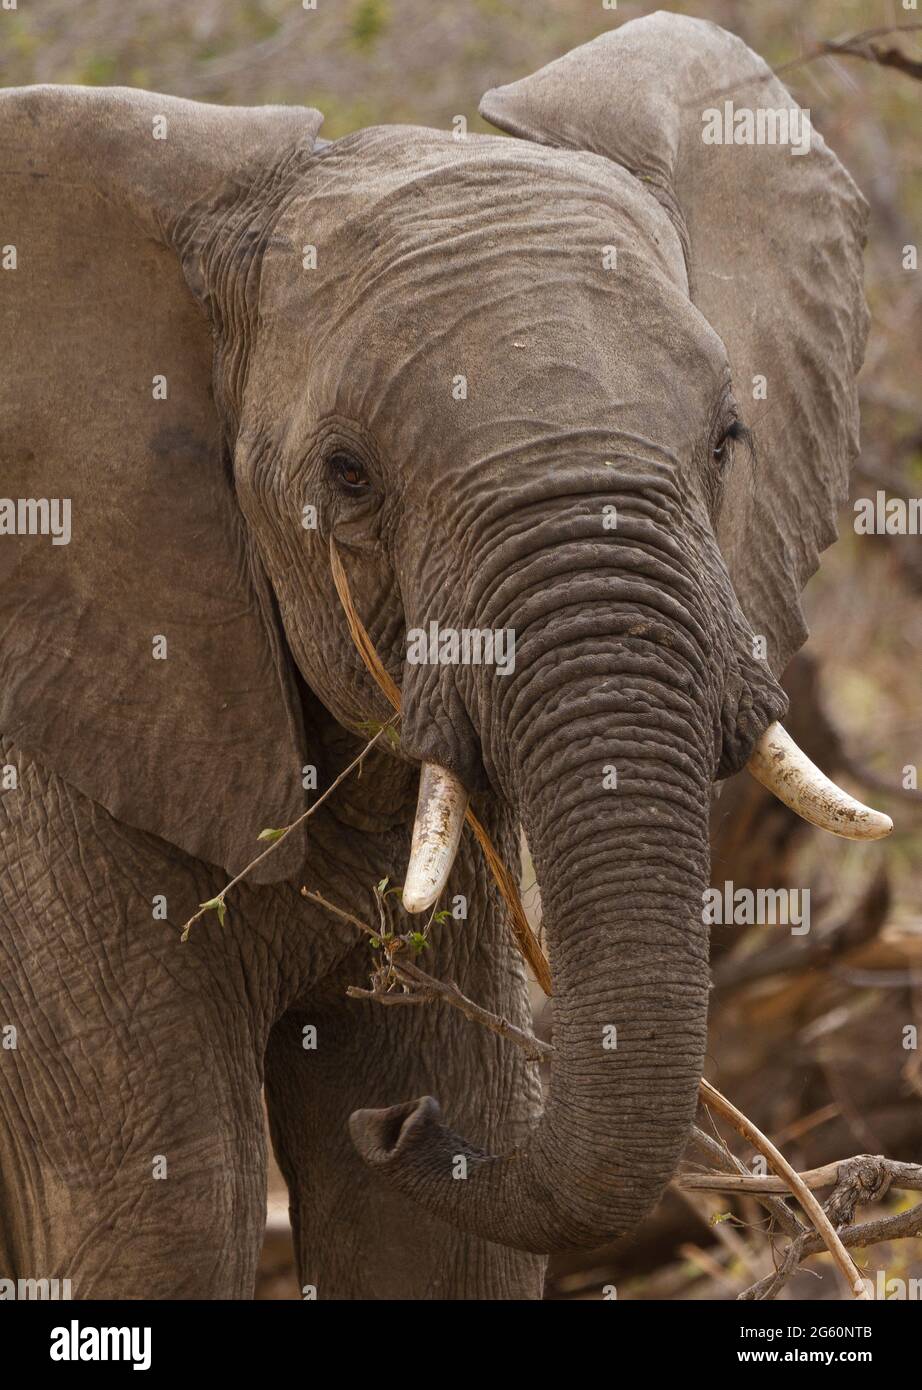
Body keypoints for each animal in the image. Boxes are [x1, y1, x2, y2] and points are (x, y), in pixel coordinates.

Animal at [0, 11, 892, 1300]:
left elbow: (430, 1244)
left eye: (728, 438)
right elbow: (166, 1210)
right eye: (347, 476)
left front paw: (400, 1118)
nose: (400, 1128)